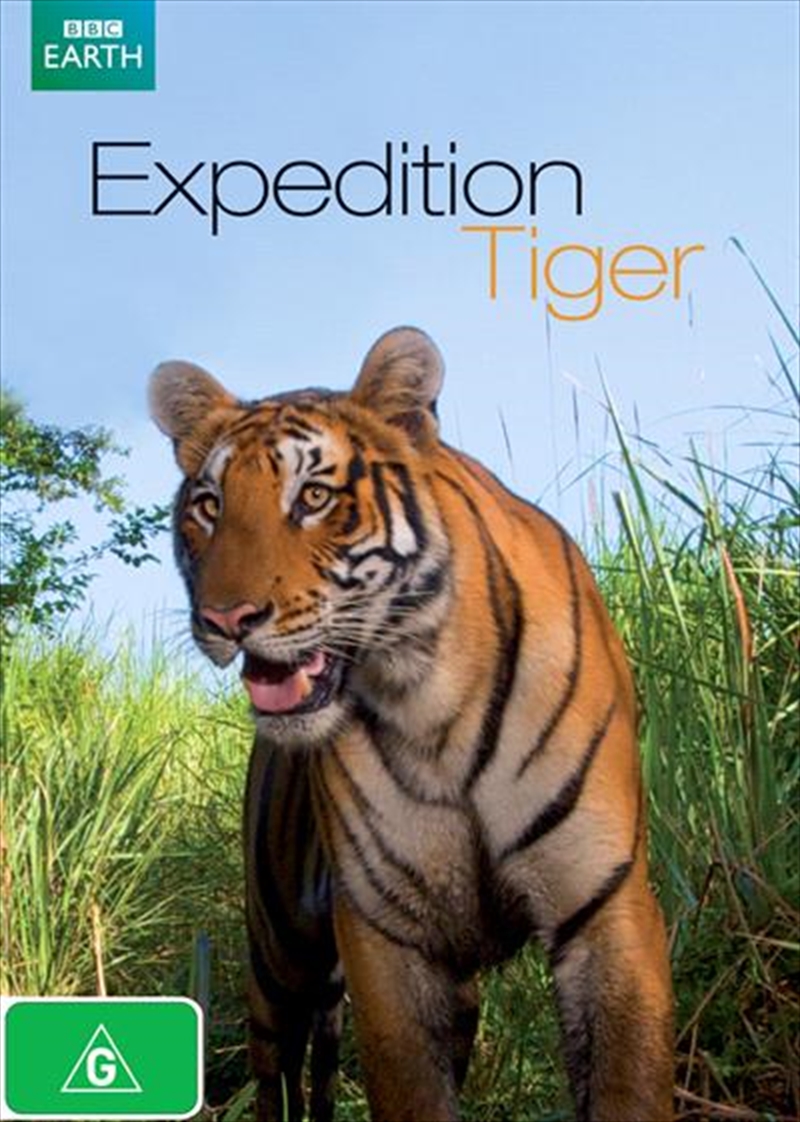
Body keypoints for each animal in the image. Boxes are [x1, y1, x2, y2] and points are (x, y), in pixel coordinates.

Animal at [149, 326, 674, 1122]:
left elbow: (628, 1086)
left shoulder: (603, 906)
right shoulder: (385, 935)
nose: (225, 619)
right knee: (278, 1072)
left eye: (313, 496)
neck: (431, 705)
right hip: (277, 945)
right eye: (208, 505)